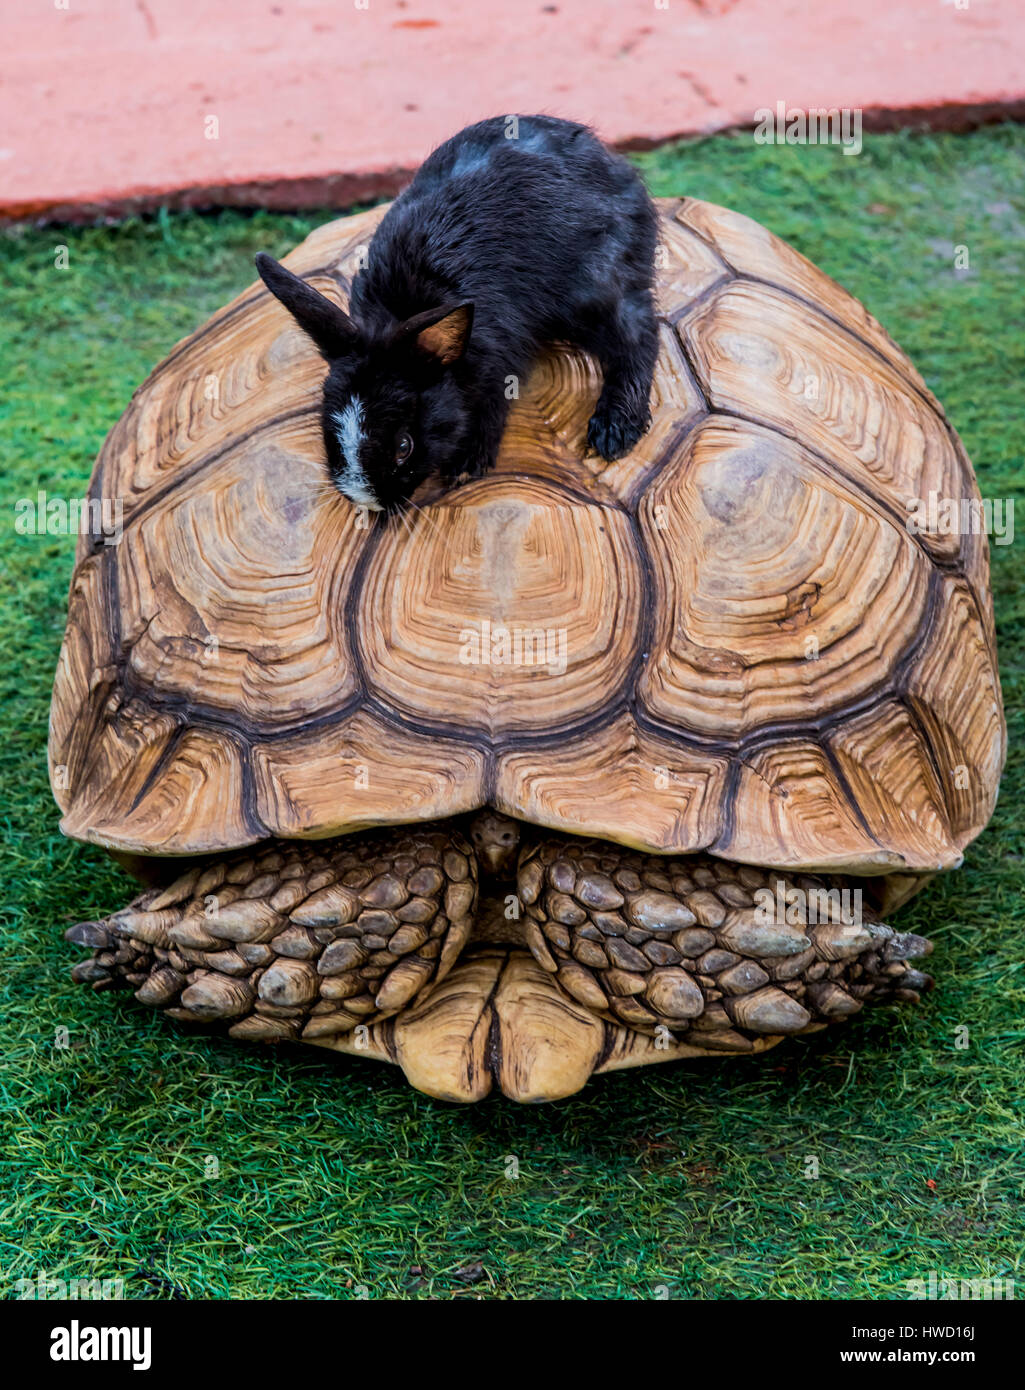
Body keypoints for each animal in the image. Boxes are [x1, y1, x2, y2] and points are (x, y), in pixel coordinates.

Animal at [255, 114, 659, 514]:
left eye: (404, 446)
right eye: (329, 429)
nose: (369, 503)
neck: (400, 310)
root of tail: (612, 164)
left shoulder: (499, 363)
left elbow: (492, 406)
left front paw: (466, 464)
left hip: (594, 291)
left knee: (639, 335)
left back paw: (614, 431)